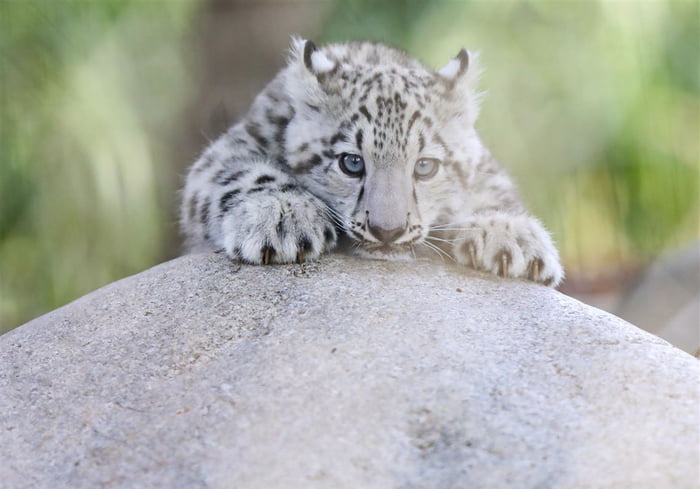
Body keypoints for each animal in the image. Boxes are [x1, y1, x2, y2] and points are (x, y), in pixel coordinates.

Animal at [181, 38, 564, 286]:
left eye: (425, 166)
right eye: (351, 162)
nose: (387, 230)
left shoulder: (486, 167)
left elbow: (493, 190)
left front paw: (512, 237)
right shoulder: (228, 149)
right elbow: (244, 173)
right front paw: (282, 216)